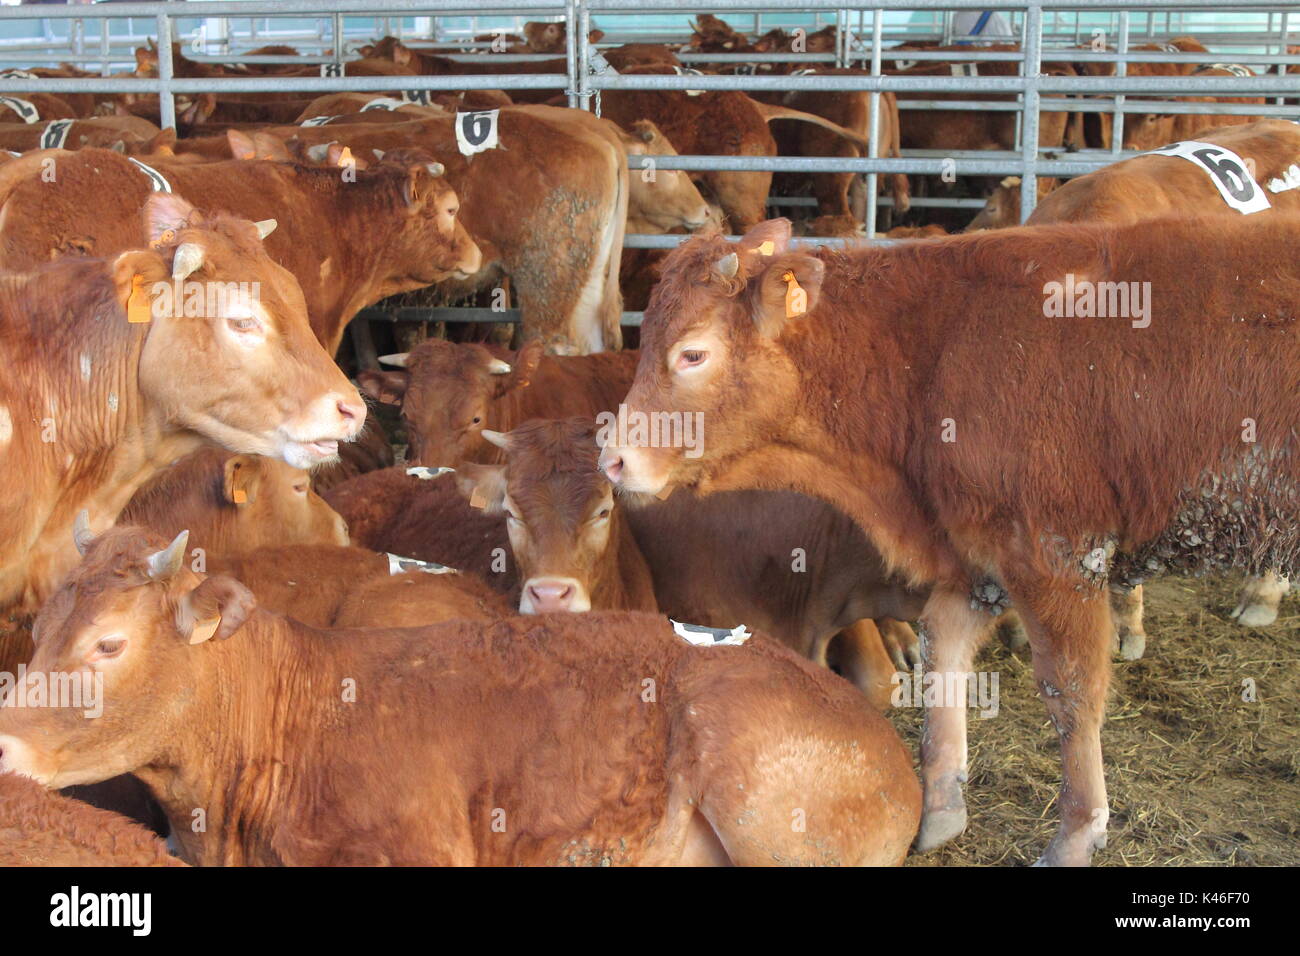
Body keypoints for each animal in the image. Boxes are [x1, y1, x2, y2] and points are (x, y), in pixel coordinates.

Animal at [598, 215, 1300, 865]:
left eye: (692, 353)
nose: (614, 460)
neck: (934, 349)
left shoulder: (1055, 555)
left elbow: (1072, 694)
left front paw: (1077, 831)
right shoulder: (975, 555)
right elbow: (944, 653)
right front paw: (941, 804)